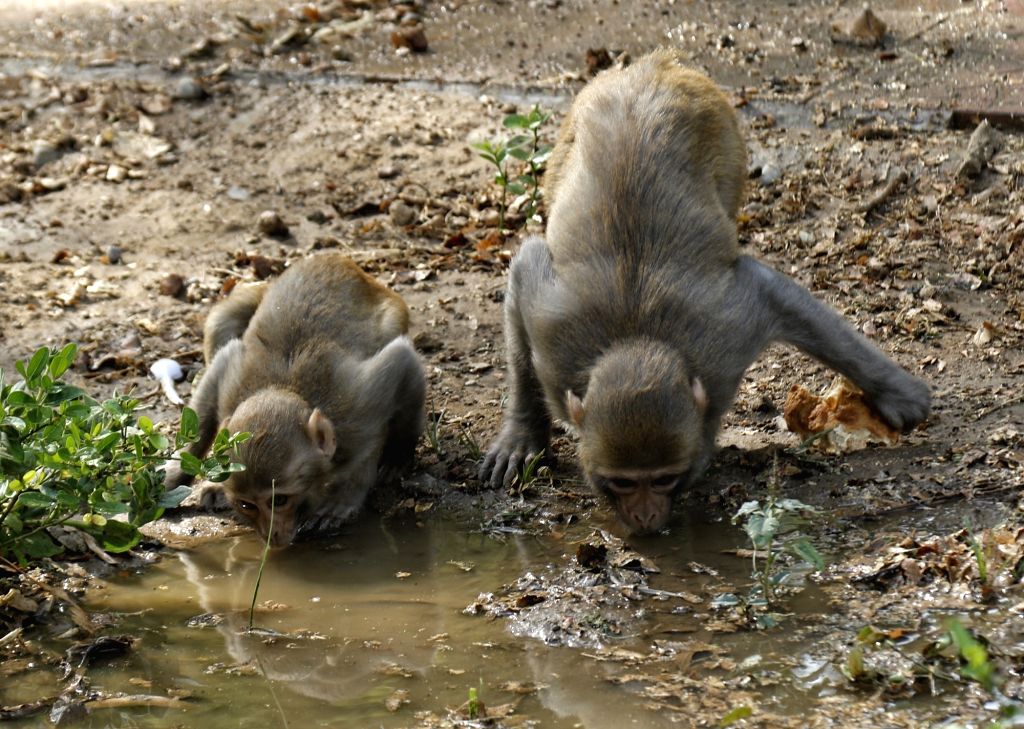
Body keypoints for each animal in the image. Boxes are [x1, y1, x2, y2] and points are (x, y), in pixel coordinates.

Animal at [167, 253, 426, 548]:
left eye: (279, 500)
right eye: (248, 505)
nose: (271, 535)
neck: (288, 390)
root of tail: (337, 259)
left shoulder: (360, 407)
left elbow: (402, 362)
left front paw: (350, 492)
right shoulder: (230, 382)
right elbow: (217, 374)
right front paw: (169, 482)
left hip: (393, 313)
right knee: (223, 319)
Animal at [480, 49, 931, 535]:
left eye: (663, 479)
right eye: (623, 482)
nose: (645, 516)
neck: (636, 337)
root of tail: (652, 69)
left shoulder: (728, 335)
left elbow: (781, 299)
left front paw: (896, 391)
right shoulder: (552, 335)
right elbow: (525, 275)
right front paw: (523, 433)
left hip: (726, 139)